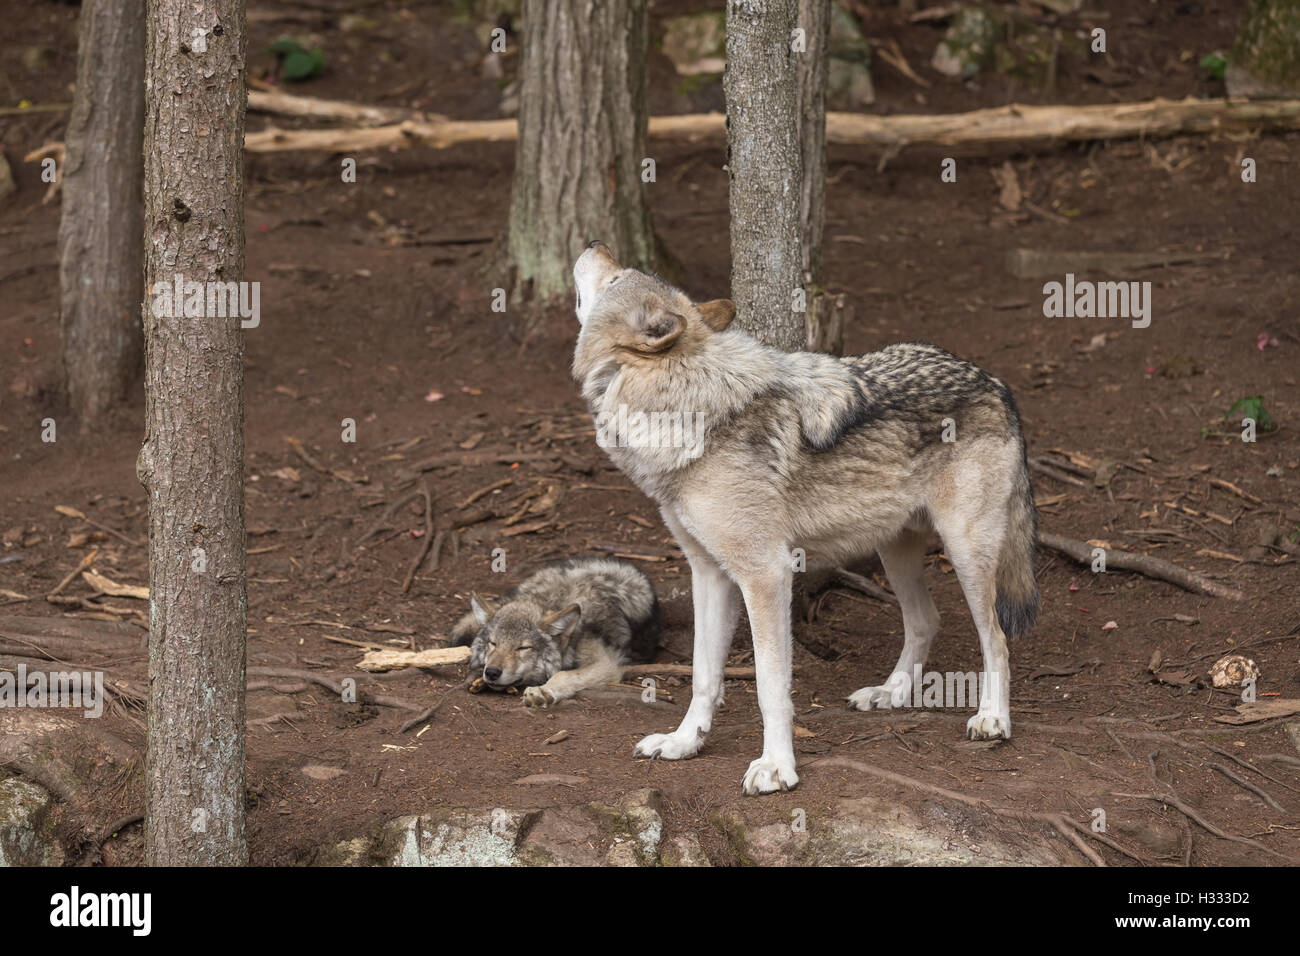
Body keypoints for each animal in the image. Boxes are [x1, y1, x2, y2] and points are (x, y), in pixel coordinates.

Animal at [451, 557, 661, 707]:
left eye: (523, 648)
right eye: (493, 643)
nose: (492, 672)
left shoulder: (606, 664)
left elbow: (564, 674)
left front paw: (543, 691)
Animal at [571, 241, 1038, 795]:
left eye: (615, 277)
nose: (594, 243)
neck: (680, 401)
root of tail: (996, 382)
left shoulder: (765, 574)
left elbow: (770, 686)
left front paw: (776, 767)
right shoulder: (709, 574)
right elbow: (704, 675)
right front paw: (685, 743)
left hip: (966, 552)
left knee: (997, 639)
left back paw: (993, 719)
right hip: (894, 550)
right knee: (927, 620)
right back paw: (890, 693)